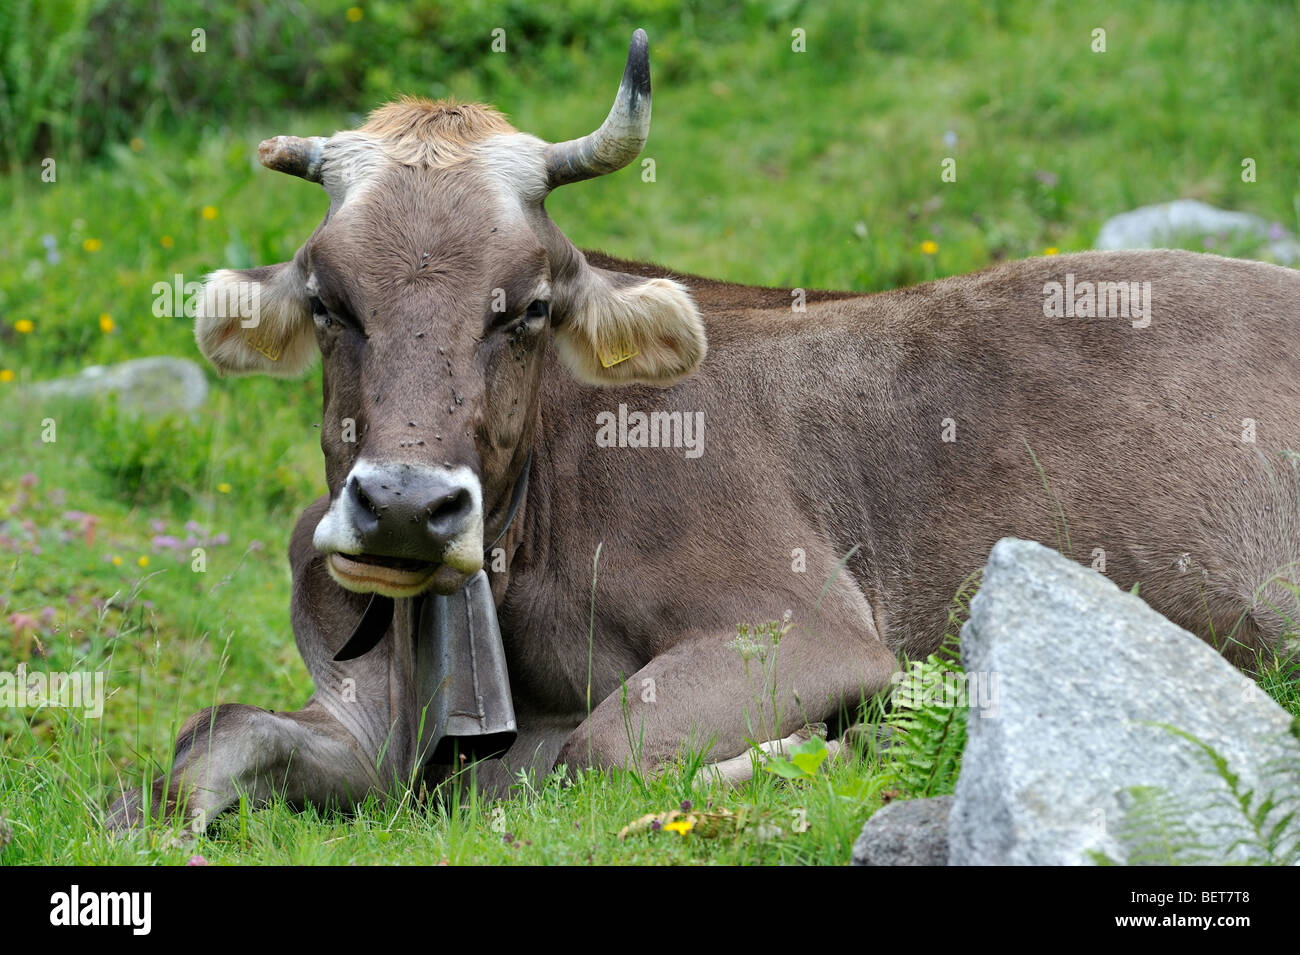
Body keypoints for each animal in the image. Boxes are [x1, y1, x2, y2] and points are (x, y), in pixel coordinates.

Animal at [108, 30, 1300, 829]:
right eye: (329, 301)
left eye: (527, 306)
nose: (404, 505)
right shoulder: (362, 716)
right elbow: (211, 737)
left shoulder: (804, 625)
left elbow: (596, 751)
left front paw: (816, 747)